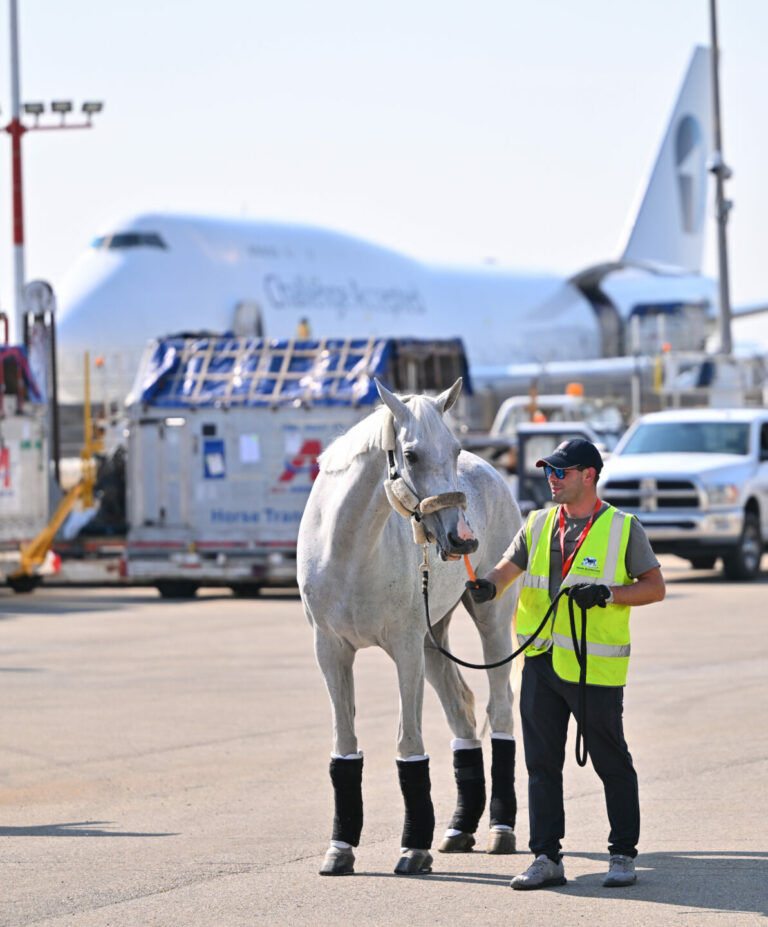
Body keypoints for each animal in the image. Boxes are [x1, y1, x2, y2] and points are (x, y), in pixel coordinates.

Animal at [297, 378, 523, 875]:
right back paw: (459, 830)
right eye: (412, 455)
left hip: (490, 624)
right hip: (432, 641)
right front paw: (340, 849)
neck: (350, 551)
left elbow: (409, 742)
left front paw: (413, 849)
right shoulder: (331, 651)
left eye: (455, 449)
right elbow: (345, 743)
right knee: (462, 712)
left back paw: (500, 830)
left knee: (499, 711)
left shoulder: (403, 648)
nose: (462, 538)